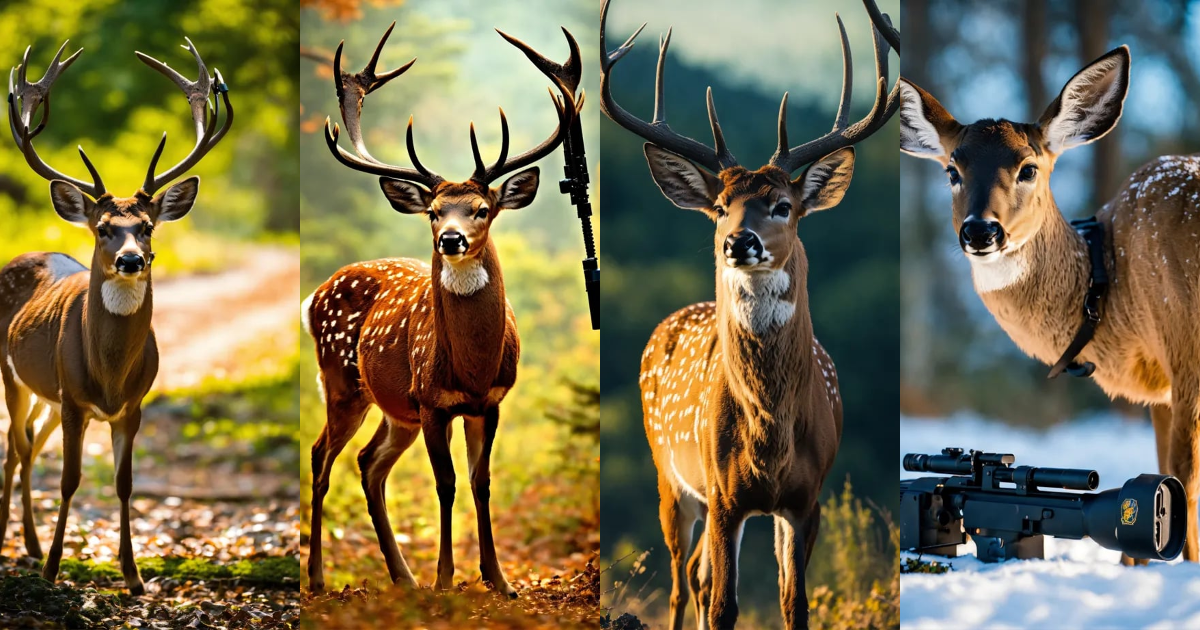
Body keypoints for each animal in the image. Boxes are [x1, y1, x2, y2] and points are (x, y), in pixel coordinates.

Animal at [0, 38, 232, 594]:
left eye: (147, 226)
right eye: (103, 227)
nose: (131, 260)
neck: (107, 373)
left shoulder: (133, 404)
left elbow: (126, 485)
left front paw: (133, 575)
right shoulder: (73, 400)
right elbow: (70, 480)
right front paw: (53, 569)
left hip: (44, 393)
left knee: (24, 448)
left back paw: (29, 543)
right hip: (14, 378)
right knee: (14, 446)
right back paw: (17, 546)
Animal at [302, 23, 581, 597]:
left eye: (482, 209)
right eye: (433, 211)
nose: (451, 238)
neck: (470, 369)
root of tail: (314, 295)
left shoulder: (489, 402)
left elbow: (481, 481)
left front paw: (498, 579)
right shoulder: (431, 400)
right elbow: (446, 483)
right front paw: (447, 579)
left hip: (393, 407)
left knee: (368, 463)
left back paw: (402, 577)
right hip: (342, 381)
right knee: (322, 456)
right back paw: (319, 578)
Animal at [600, 1, 899, 627]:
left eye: (783, 205)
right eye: (719, 205)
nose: (738, 241)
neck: (770, 440)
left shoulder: (807, 500)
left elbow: (794, 602)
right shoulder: (723, 495)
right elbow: (724, 606)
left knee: (695, 575)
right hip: (670, 475)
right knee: (681, 580)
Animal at [898, 47, 1200, 565]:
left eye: (1029, 168)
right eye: (952, 171)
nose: (981, 231)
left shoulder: (1186, 350)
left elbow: (1184, 478)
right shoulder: (1165, 388)